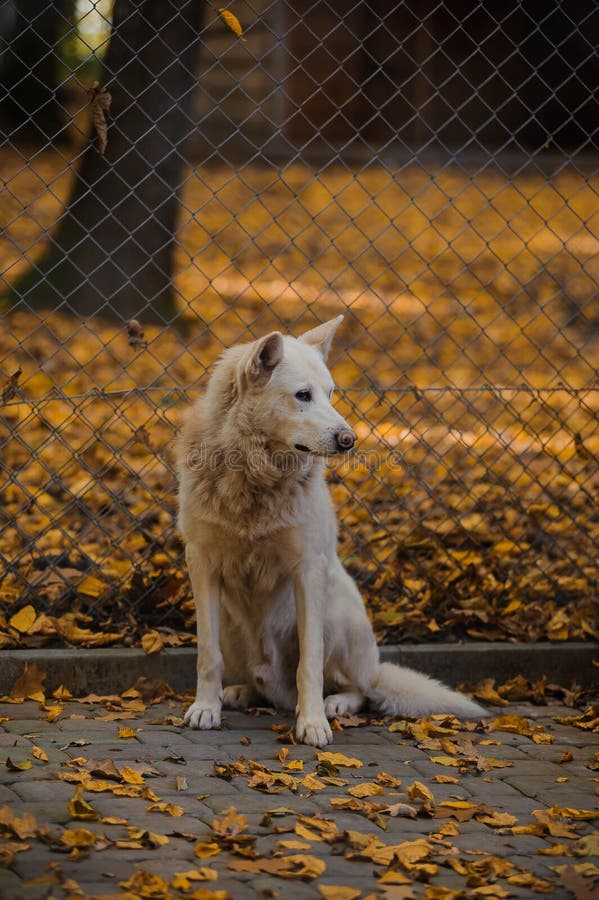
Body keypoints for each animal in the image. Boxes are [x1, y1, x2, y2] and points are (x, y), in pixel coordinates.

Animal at [177, 316, 485, 746]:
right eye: (302, 395)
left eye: (330, 394)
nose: (349, 440)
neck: (255, 479)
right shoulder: (201, 564)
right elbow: (207, 655)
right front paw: (206, 708)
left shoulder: (308, 569)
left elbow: (310, 663)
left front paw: (312, 725)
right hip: (230, 624)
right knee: (255, 679)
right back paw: (239, 692)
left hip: (338, 613)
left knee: (362, 688)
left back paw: (335, 704)